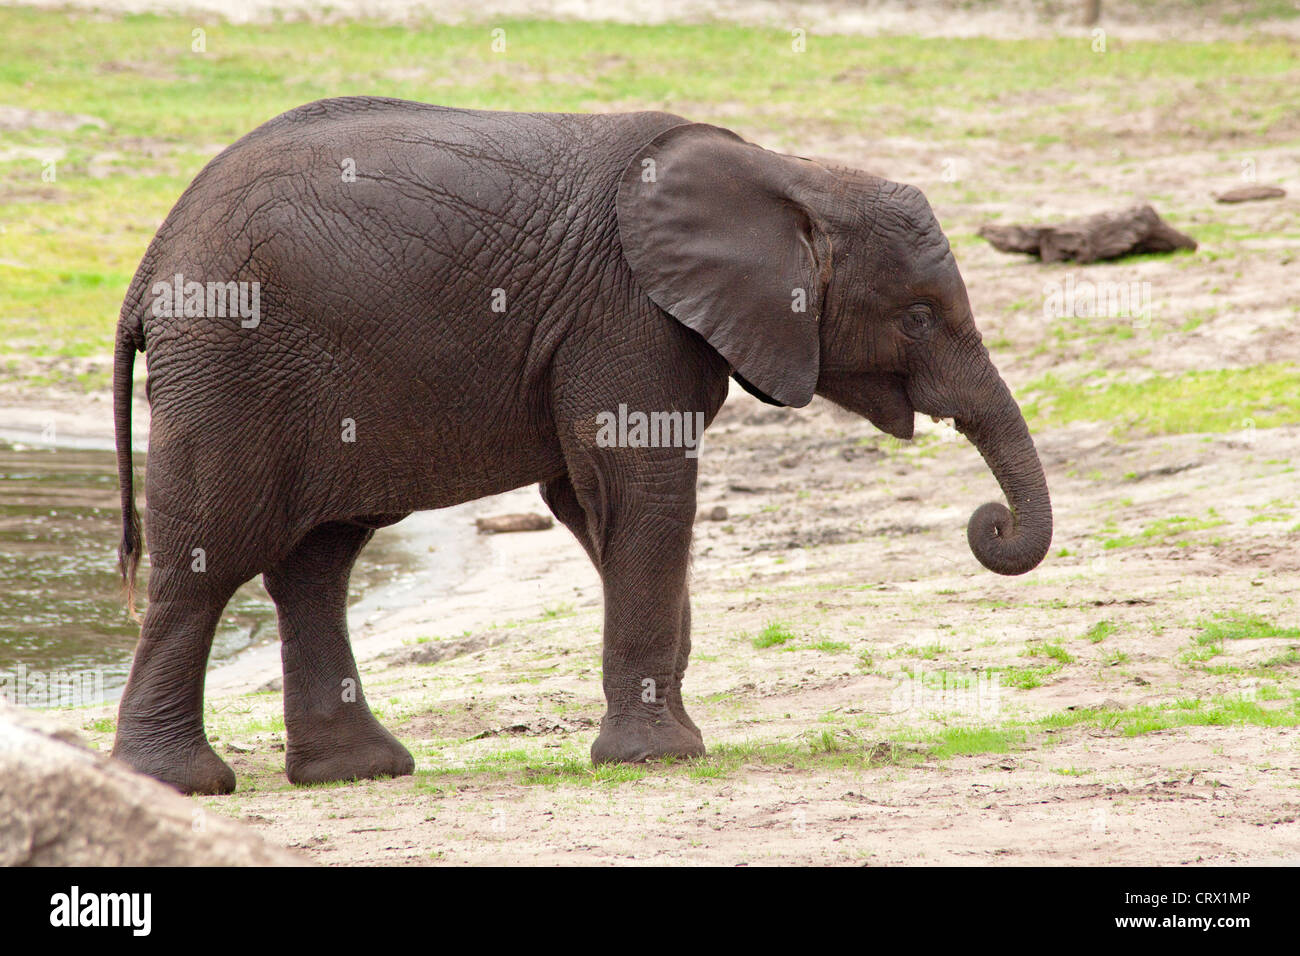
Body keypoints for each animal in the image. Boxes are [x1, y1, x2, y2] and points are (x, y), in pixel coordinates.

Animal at [110, 97, 1052, 795]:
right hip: (230, 359)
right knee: (208, 559)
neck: (794, 176)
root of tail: (153, 256)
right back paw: (180, 784)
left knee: (318, 561)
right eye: (919, 316)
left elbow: (590, 502)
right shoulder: (626, 313)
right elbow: (645, 492)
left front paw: (670, 726)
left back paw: (357, 772)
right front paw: (661, 756)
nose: (990, 524)